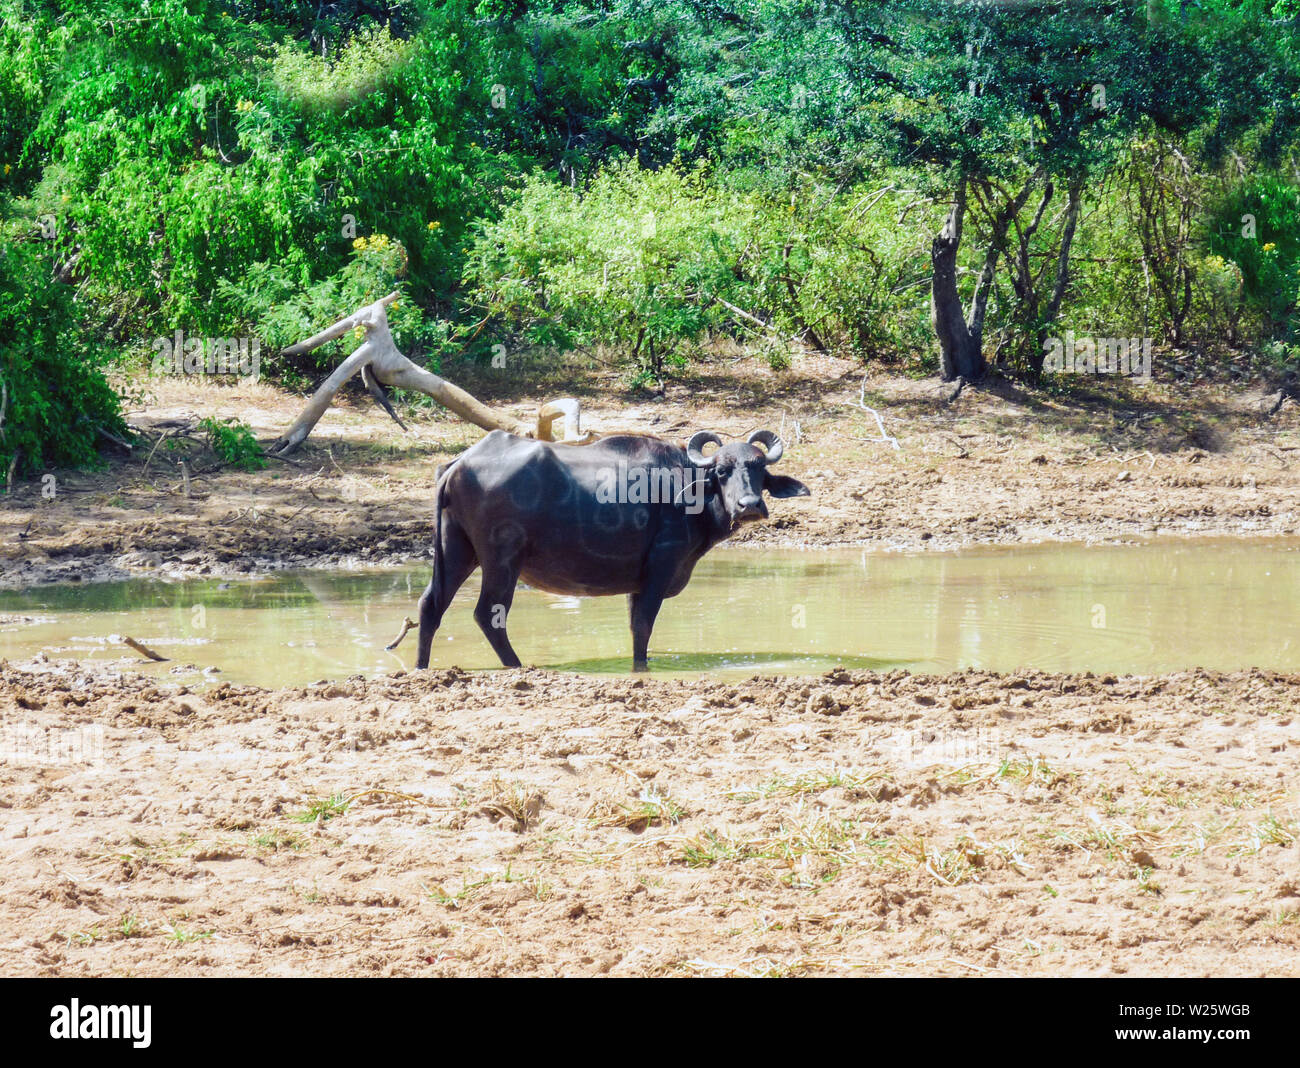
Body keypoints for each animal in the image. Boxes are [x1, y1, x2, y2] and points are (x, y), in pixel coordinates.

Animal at [414, 428, 810, 671]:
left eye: (758, 468)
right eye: (723, 470)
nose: (749, 505)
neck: (686, 488)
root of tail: (459, 463)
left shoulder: (638, 582)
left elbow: (634, 625)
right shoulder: (660, 568)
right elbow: (643, 626)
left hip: (458, 549)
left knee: (431, 604)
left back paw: (421, 666)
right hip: (501, 560)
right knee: (488, 614)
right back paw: (518, 665)